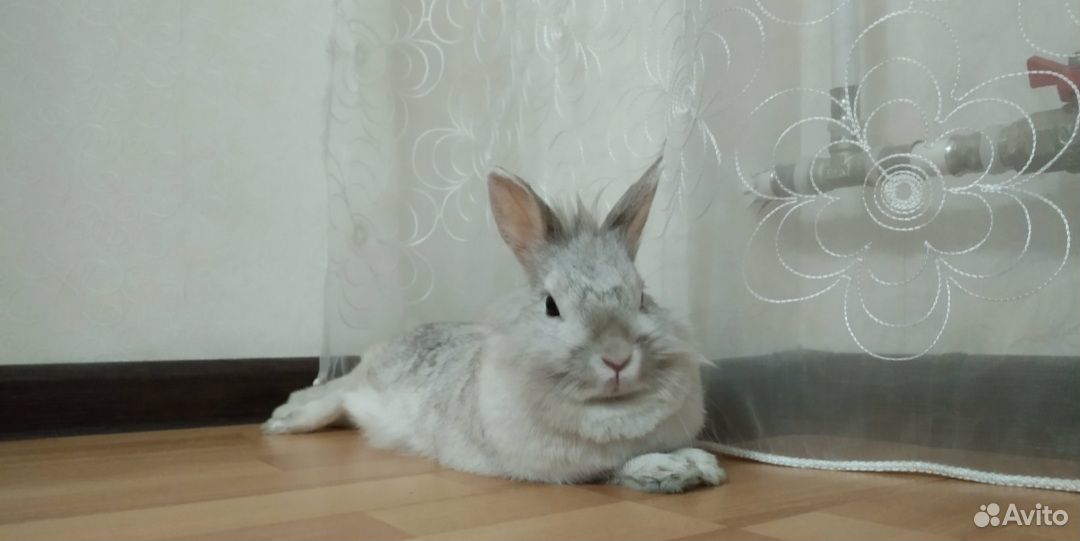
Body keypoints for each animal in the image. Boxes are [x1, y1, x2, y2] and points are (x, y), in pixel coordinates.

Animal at [263, 156, 725, 493]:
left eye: (642, 296)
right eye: (552, 306)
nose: (616, 357)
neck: (611, 409)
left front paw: (700, 465)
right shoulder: (564, 467)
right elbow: (617, 467)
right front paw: (667, 470)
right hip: (363, 384)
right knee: (332, 395)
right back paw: (281, 422)